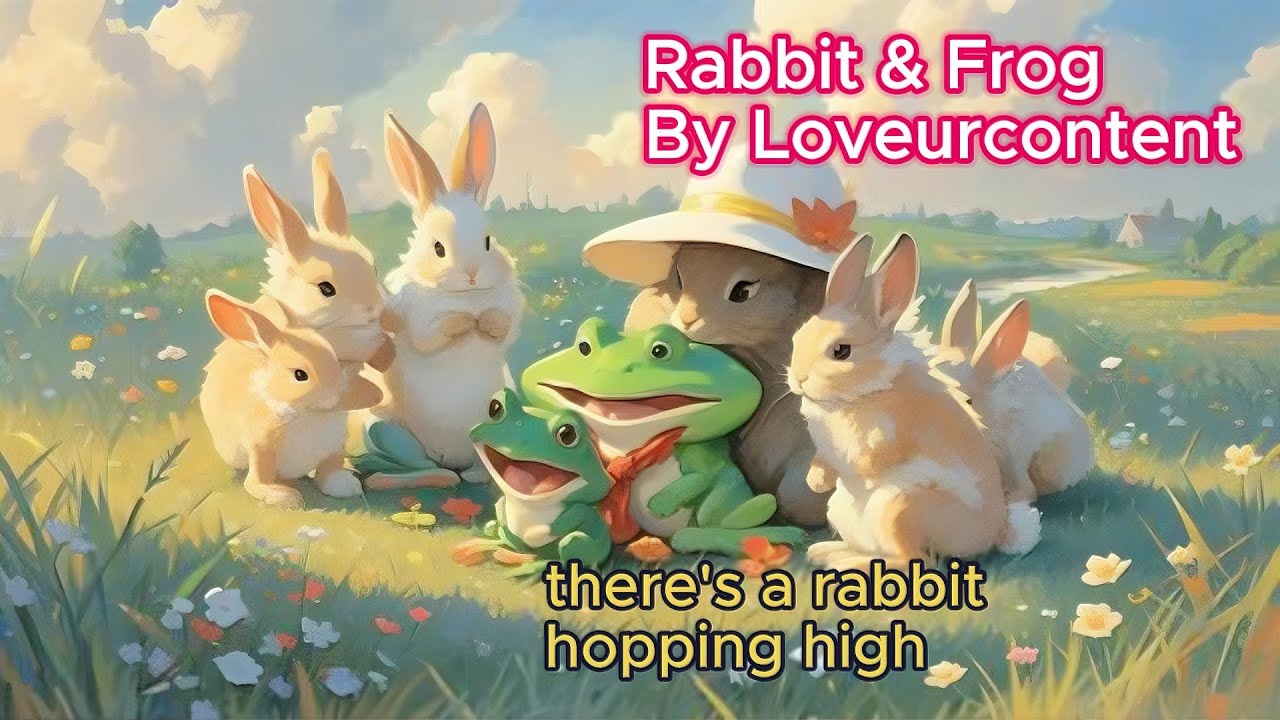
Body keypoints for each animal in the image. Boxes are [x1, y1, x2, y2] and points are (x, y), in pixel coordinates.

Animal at [200, 289, 384, 508]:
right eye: (300, 375)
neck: (306, 414)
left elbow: (329, 472)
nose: (337, 391)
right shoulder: (260, 452)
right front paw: (288, 499)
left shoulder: (333, 450)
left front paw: (347, 485)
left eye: (335, 360)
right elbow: (256, 484)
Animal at [373, 103, 524, 483]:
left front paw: (486, 322)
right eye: (438, 248)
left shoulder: (511, 306)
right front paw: (464, 323)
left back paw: (477, 476)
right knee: (418, 465)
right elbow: (432, 335)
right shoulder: (416, 318)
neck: (464, 297)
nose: (471, 275)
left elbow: (504, 327)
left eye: (488, 241)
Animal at [788, 233, 1040, 571]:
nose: (798, 380)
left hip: (900, 508)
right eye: (797, 337)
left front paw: (835, 476)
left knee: (914, 561)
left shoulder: (889, 434)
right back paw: (827, 552)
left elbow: (867, 460)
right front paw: (816, 481)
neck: (865, 392)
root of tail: (991, 535)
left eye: (841, 351)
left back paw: (846, 563)